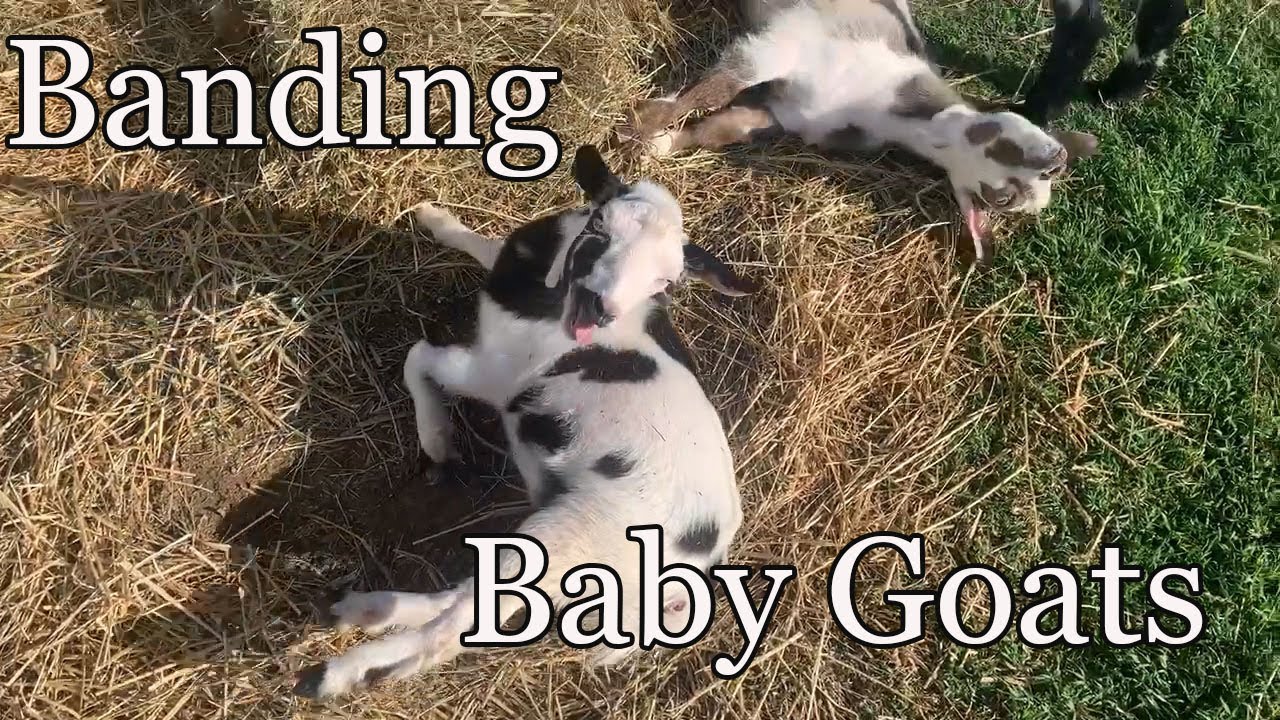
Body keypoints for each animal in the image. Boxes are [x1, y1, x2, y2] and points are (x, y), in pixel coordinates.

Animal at [291, 146, 756, 700]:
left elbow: (416, 356)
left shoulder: (495, 373)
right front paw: (433, 217)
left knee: (452, 630)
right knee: (471, 599)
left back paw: (337, 674)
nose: (601, 308)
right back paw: (362, 611)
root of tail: (703, 553)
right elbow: (483, 247)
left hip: (573, 532)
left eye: (667, 281)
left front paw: (438, 441)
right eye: (599, 225)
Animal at [618, 0, 1101, 265]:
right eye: (1020, 134)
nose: (1056, 159)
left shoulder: (784, 112)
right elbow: (712, 91)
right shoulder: (781, 47)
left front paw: (661, 144)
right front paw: (636, 130)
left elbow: (722, 125)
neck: (876, 100)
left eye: (1002, 203)